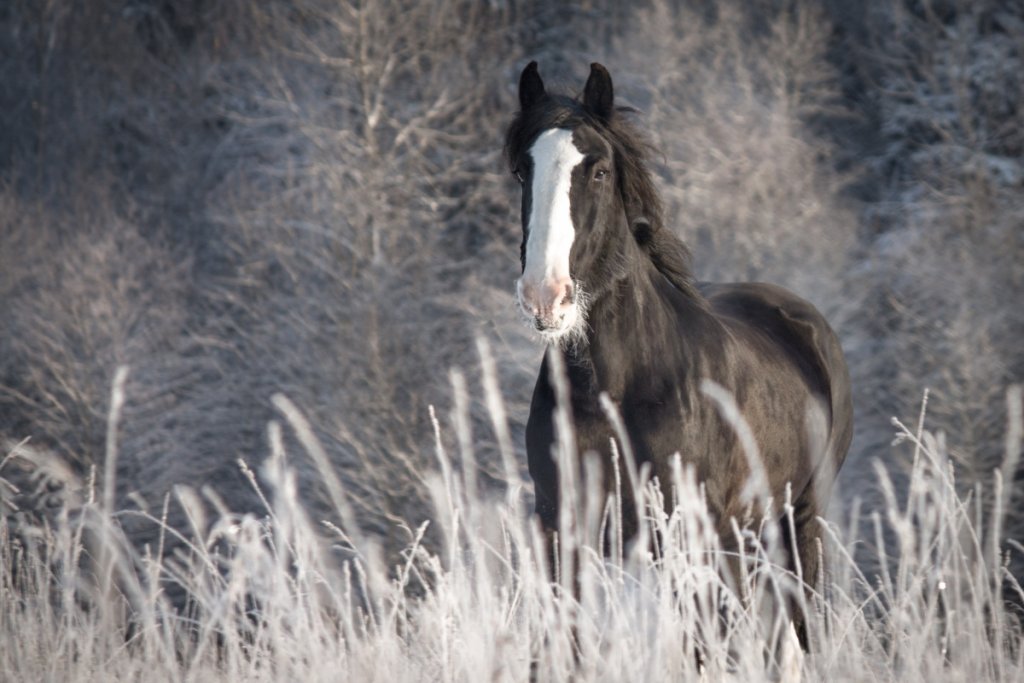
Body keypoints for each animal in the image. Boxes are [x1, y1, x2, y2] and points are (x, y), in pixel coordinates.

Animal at [505, 61, 853, 649]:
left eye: (599, 172)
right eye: (522, 172)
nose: (545, 297)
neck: (616, 391)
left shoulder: (689, 537)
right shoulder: (563, 532)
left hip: (796, 525)